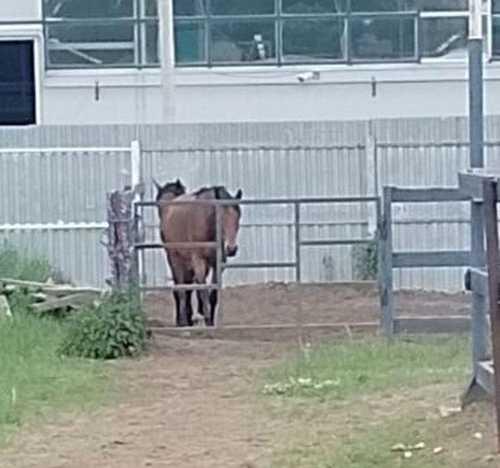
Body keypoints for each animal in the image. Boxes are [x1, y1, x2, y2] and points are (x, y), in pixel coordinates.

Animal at [158, 186, 240, 326]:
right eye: (221, 216)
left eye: (238, 216)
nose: (231, 248)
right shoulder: (198, 262)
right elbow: (203, 291)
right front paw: (206, 319)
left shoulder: (216, 264)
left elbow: (213, 294)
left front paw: (210, 320)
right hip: (175, 259)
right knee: (181, 289)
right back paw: (183, 321)